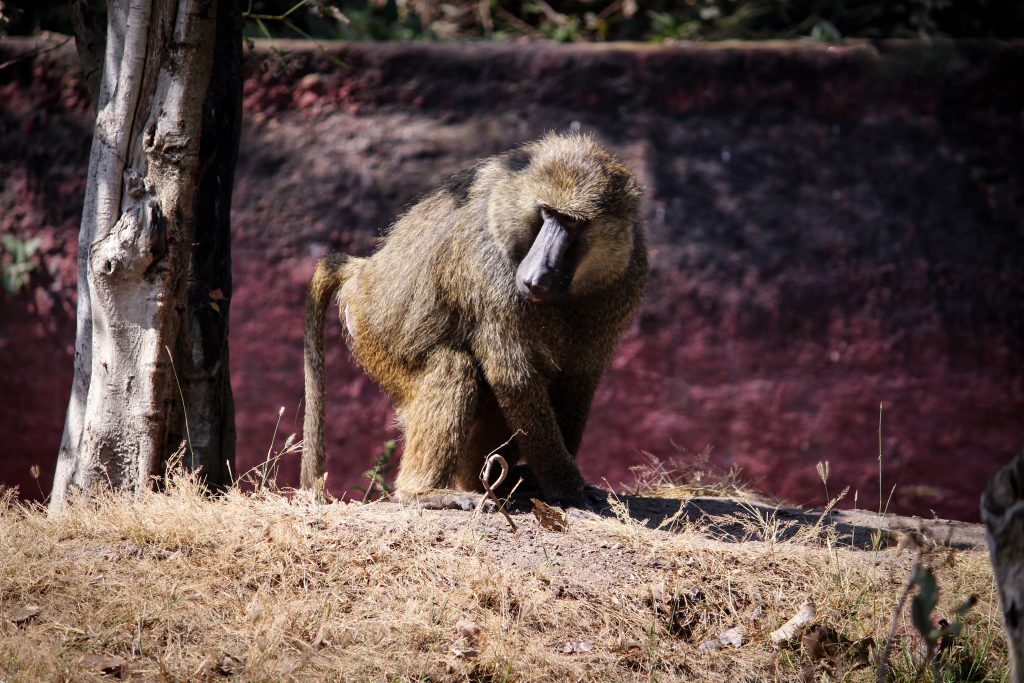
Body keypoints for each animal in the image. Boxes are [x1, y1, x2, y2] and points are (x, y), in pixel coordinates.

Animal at [301, 132, 647, 510]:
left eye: (572, 222)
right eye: (546, 212)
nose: (535, 276)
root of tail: (363, 272)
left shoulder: (623, 280)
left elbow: (577, 377)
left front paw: (550, 479)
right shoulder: (489, 265)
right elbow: (514, 379)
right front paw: (565, 487)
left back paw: (483, 482)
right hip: (375, 335)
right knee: (454, 364)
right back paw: (424, 492)